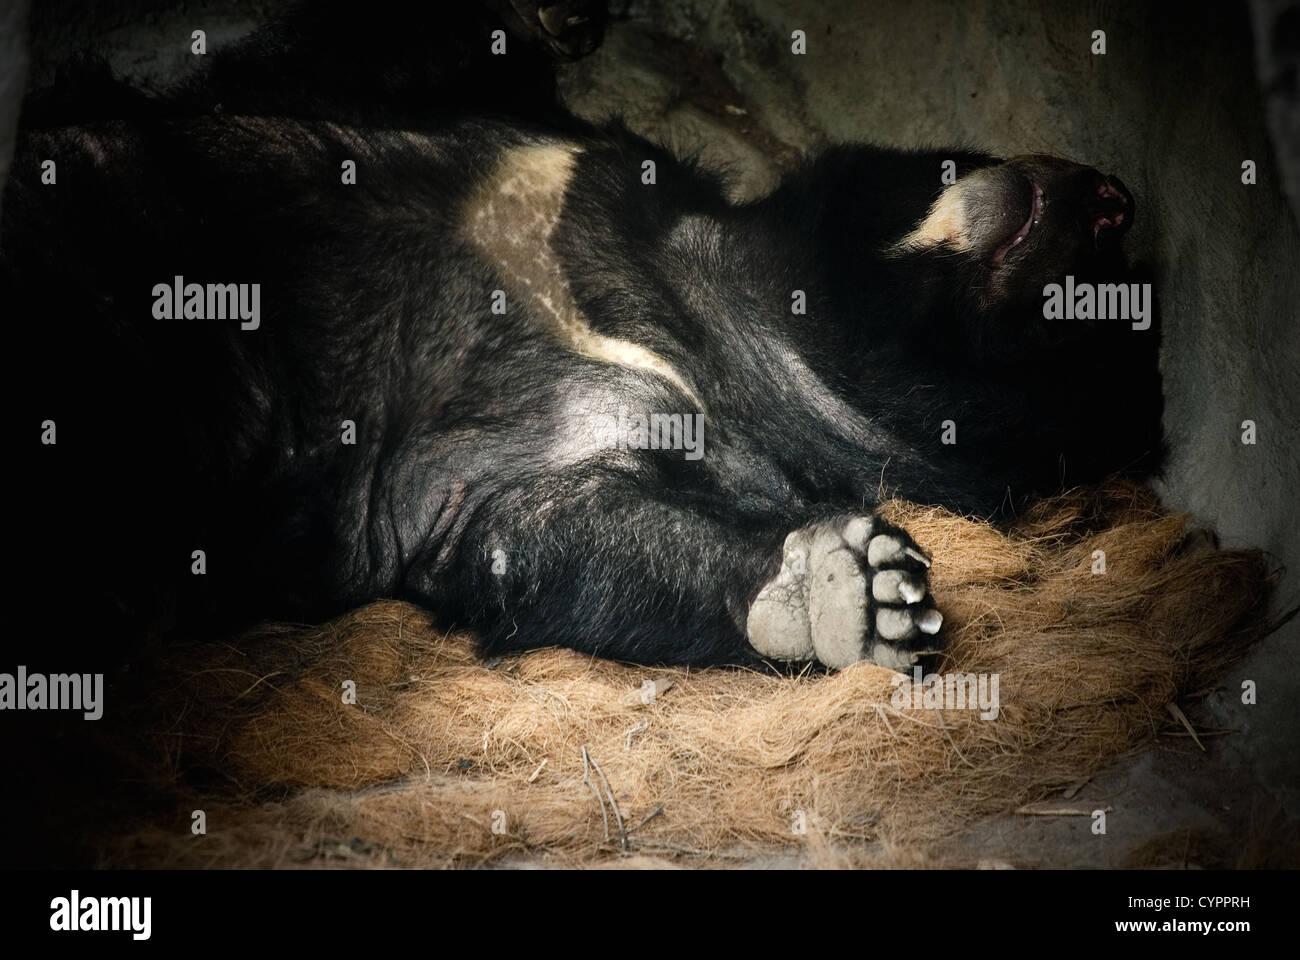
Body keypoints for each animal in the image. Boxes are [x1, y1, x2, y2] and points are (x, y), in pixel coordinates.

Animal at [2, 0, 1162, 672]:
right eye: (1101, 298)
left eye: (1094, 331)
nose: (1113, 198)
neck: (701, 306)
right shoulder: (537, 145)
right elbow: (367, 57)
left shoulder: (590, 434)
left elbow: (548, 533)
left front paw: (851, 592)